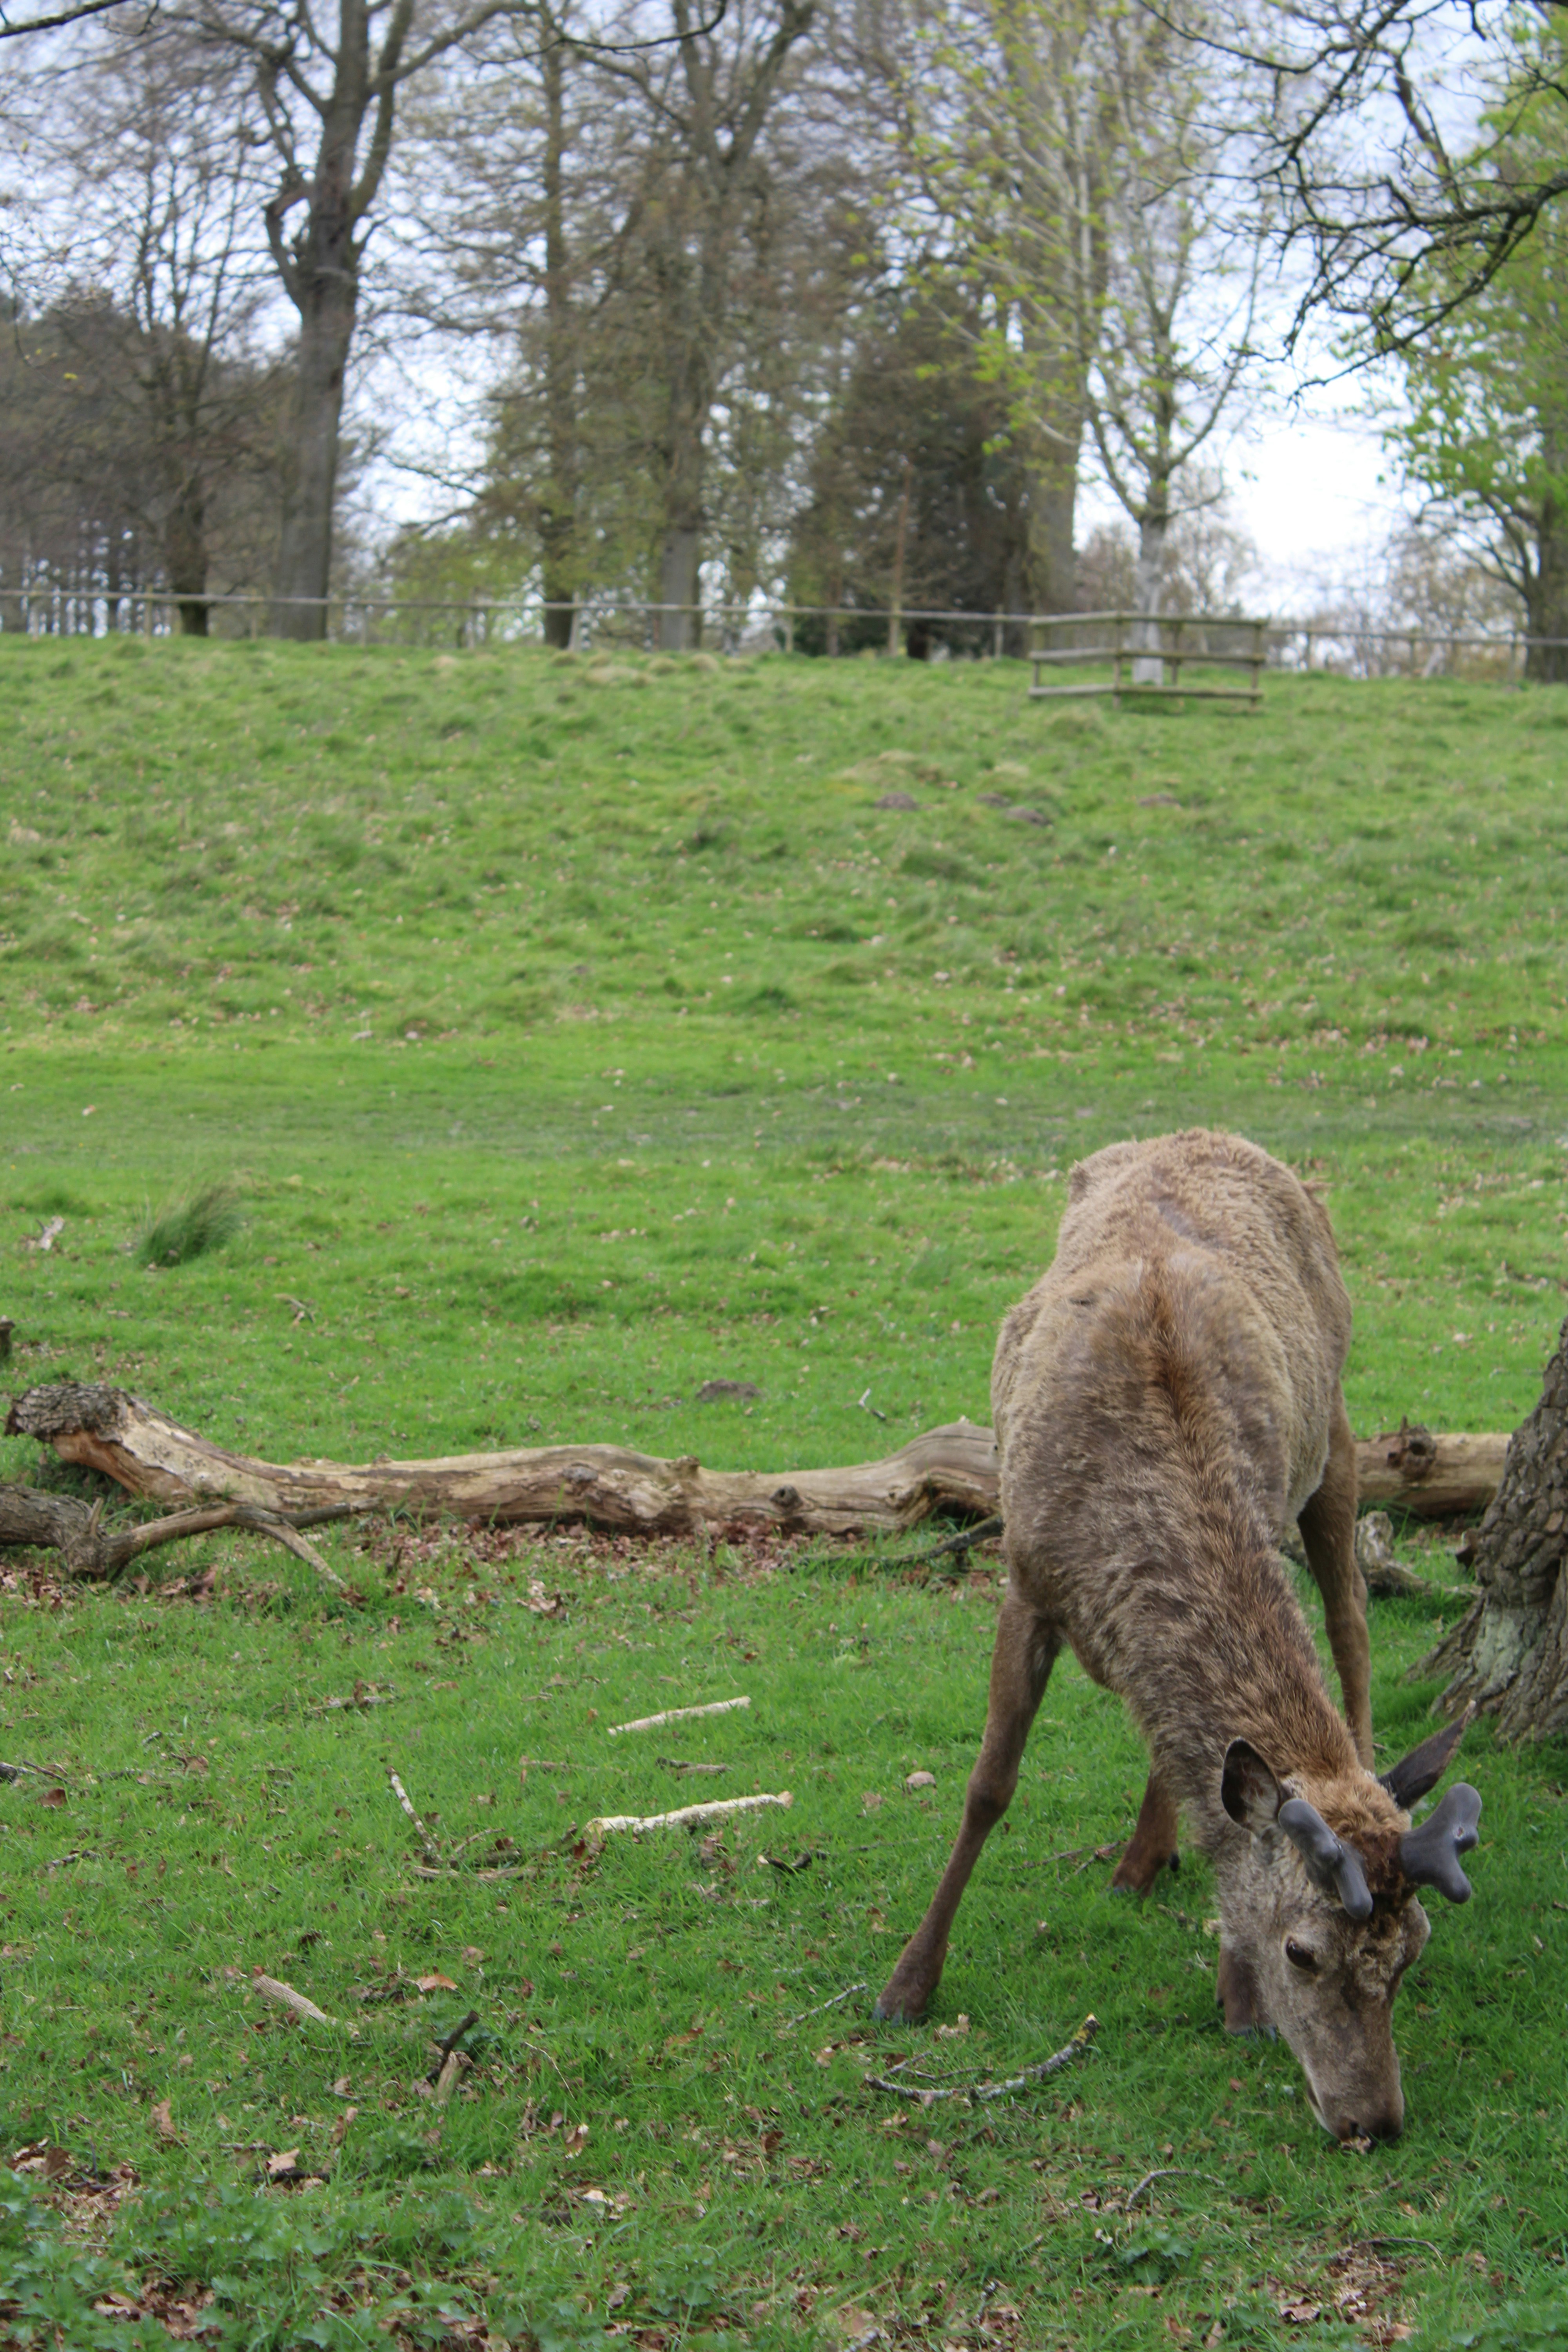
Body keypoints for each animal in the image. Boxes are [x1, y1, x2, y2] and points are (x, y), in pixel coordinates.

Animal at [875, 1129, 1481, 2143]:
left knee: (1349, 1626)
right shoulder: (1025, 1580)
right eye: (1303, 1952)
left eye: (1410, 1955)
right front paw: (907, 1985)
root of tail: (1210, 1135)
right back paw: (1136, 1862)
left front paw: (1235, 2001)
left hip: (1336, 1435)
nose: (1374, 2119)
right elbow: (988, 1787)